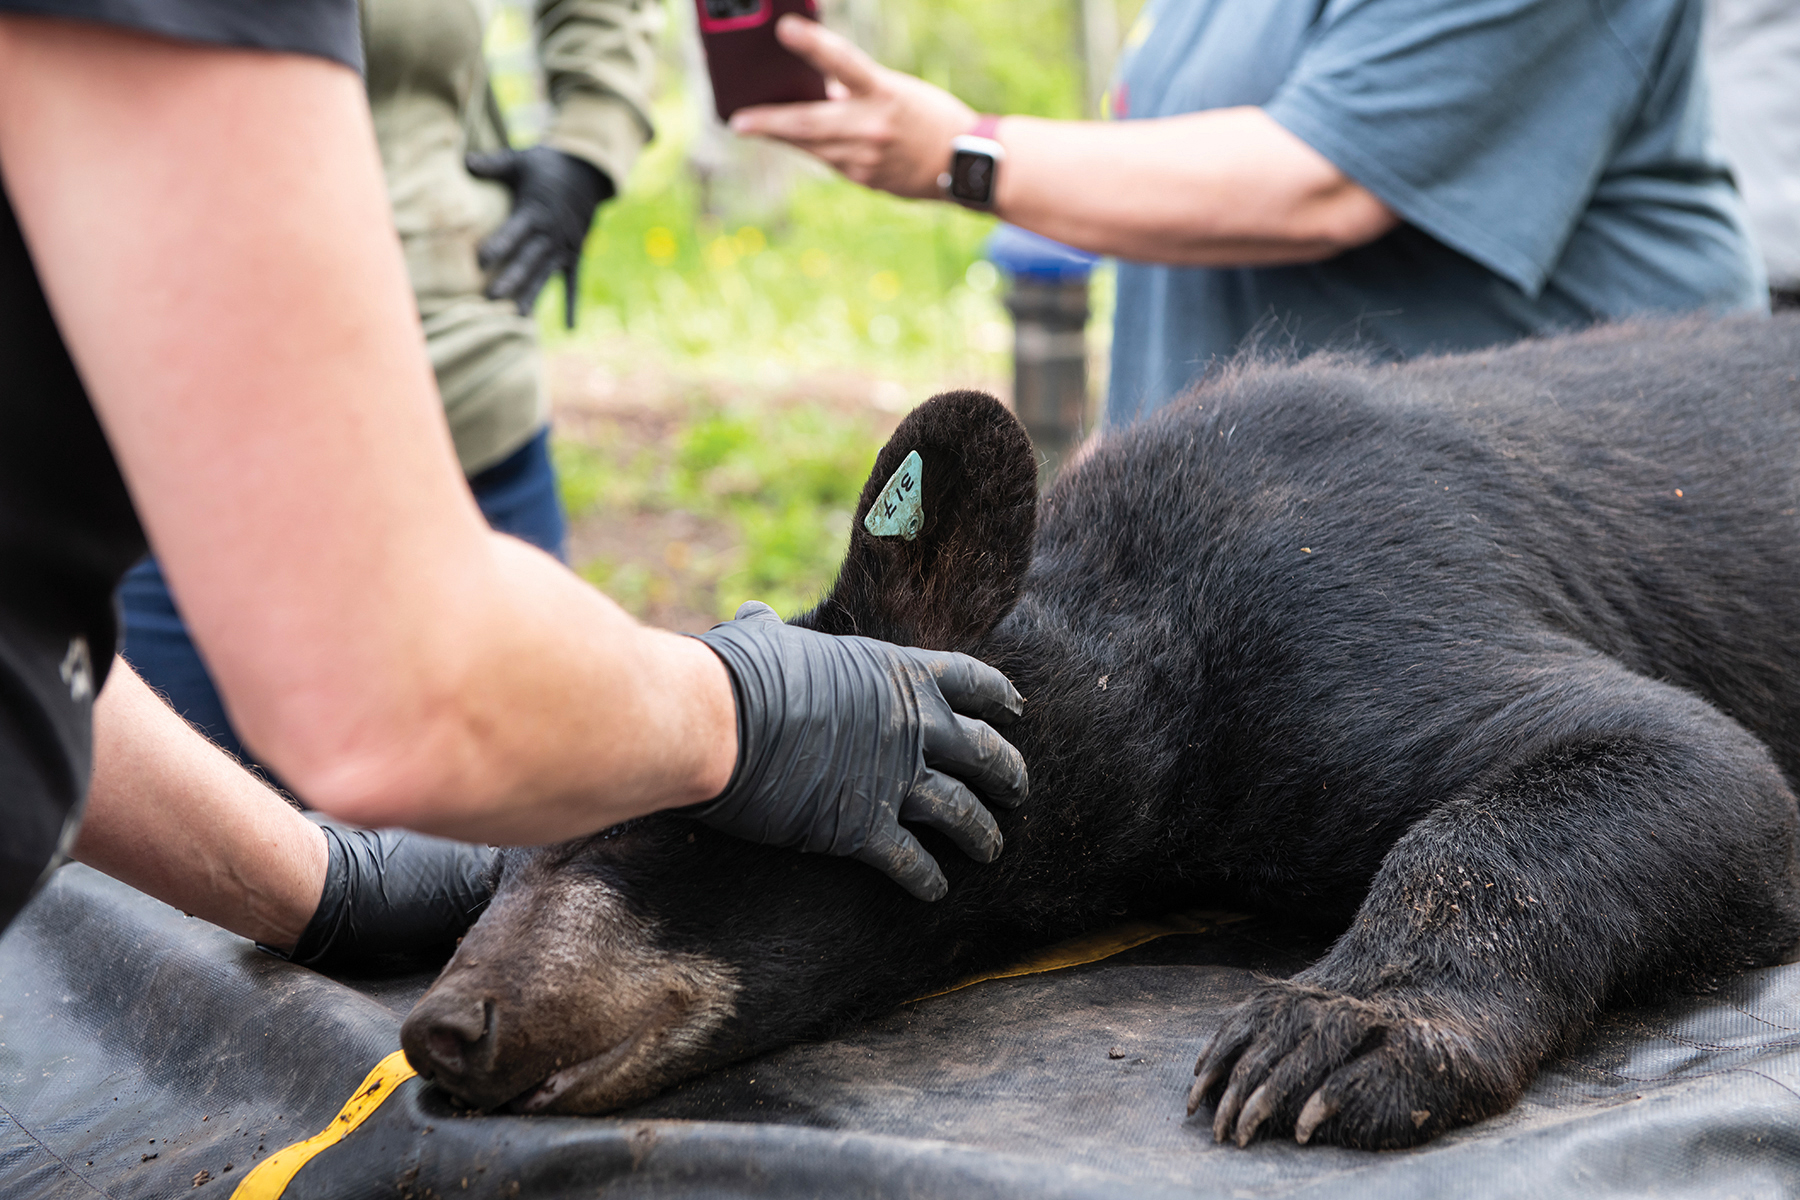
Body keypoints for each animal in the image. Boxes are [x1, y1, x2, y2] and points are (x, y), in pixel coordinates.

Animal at [401, 314, 1800, 1151]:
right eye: (498, 862)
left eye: (655, 817)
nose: (449, 1026)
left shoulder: (1340, 592)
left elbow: (1685, 758)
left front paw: (1326, 1039)